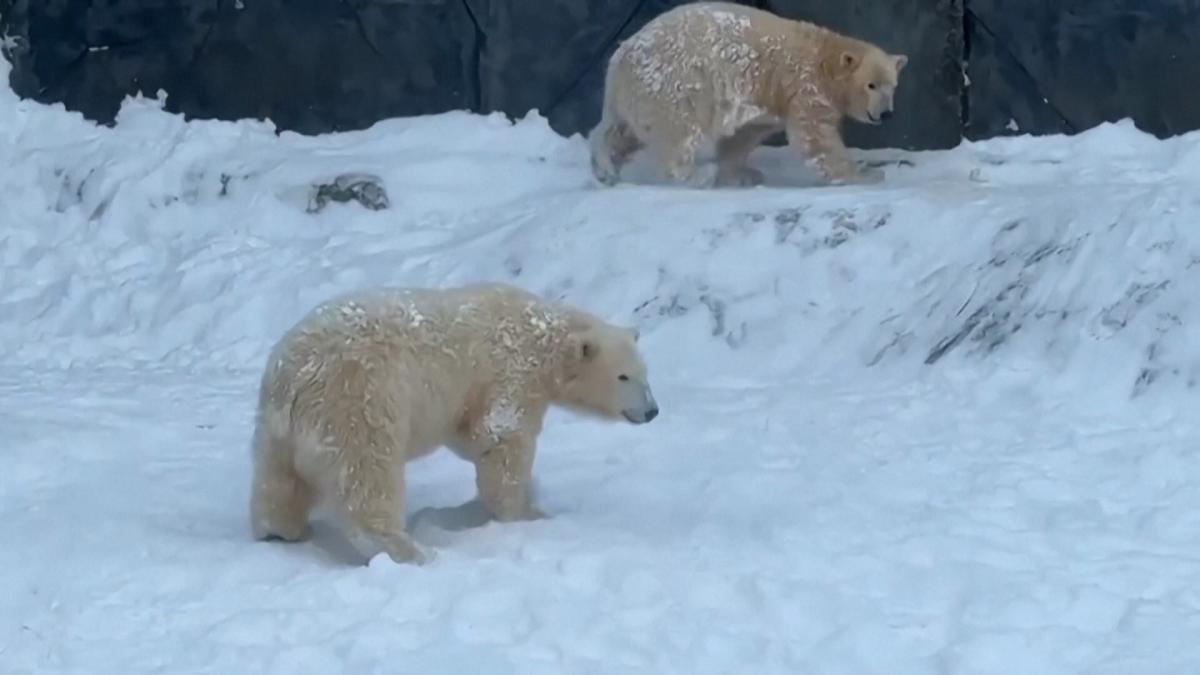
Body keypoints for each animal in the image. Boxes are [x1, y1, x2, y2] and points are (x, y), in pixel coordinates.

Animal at [248, 282, 658, 565]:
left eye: (645, 375)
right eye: (624, 377)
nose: (652, 411)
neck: (542, 334)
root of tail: (294, 377)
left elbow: (472, 437)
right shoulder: (510, 371)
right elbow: (503, 436)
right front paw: (528, 513)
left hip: (277, 428)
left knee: (278, 480)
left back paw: (280, 530)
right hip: (359, 399)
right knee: (367, 473)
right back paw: (411, 550)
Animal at [589, 1, 908, 188]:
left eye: (892, 85)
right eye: (871, 85)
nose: (887, 113)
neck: (823, 57)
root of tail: (621, 56)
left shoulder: (767, 97)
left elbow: (744, 135)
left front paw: (743, 174)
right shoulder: (804, 84)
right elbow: (816, 137)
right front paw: (866, 174)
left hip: (635, 93)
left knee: (623, 130)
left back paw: (604, 168)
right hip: (675, 84)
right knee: (677, 134)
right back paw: (698, 175)